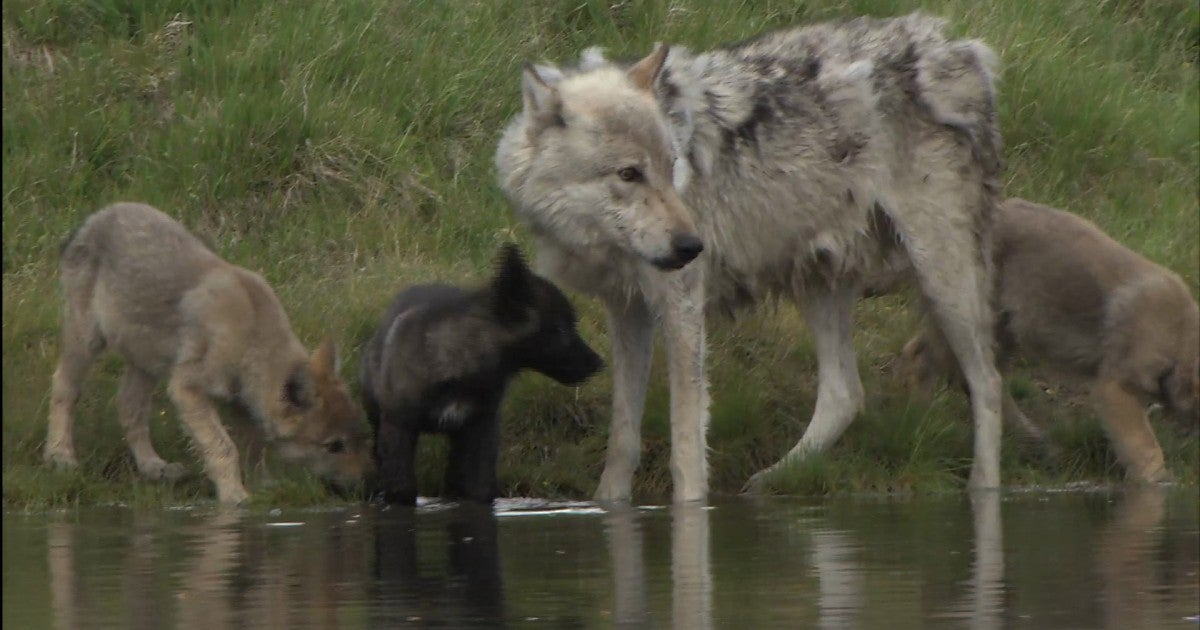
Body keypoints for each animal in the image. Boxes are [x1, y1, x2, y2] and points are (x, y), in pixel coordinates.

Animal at [45, 202, 372, 504]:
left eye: (360, 437)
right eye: (334, 445)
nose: (365, 487)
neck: (251, 338)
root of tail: (93, 218)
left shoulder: (242, 406)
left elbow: (254, 449)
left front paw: (264, 486)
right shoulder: (187, 390)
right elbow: (224, 448)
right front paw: (234, 497)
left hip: (146, 363)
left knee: (128, 407)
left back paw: (154, 467)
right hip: (87, 340)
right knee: (64, 387)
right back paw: (60, 455)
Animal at [360, 245, 603, 505]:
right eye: (561, 329)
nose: (599, 364)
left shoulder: (479, 433)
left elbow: (479, 489)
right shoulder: (399, 430)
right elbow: (401, 489)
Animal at [495, 13, 1006, 502]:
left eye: (672, 166)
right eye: (629, 174)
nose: (692, 246)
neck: (604, 245)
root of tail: (960, 49)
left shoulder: (681, 307)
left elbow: (686, 441)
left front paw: (691, 511)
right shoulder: (627, 310)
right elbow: (622, 438)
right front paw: (609, 505)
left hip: (942, 278)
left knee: (987, 383)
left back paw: (983, 489)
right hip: (820, 281)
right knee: (845, 394)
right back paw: (773, 479)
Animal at [900, 198, 1199, 482]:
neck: (1181, 337)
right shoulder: (1116, 388)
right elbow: (1146, 448)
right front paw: (1157, 482)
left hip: (1000, 336)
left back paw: (1032, 440)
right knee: (919, 360)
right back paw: (919, 421)